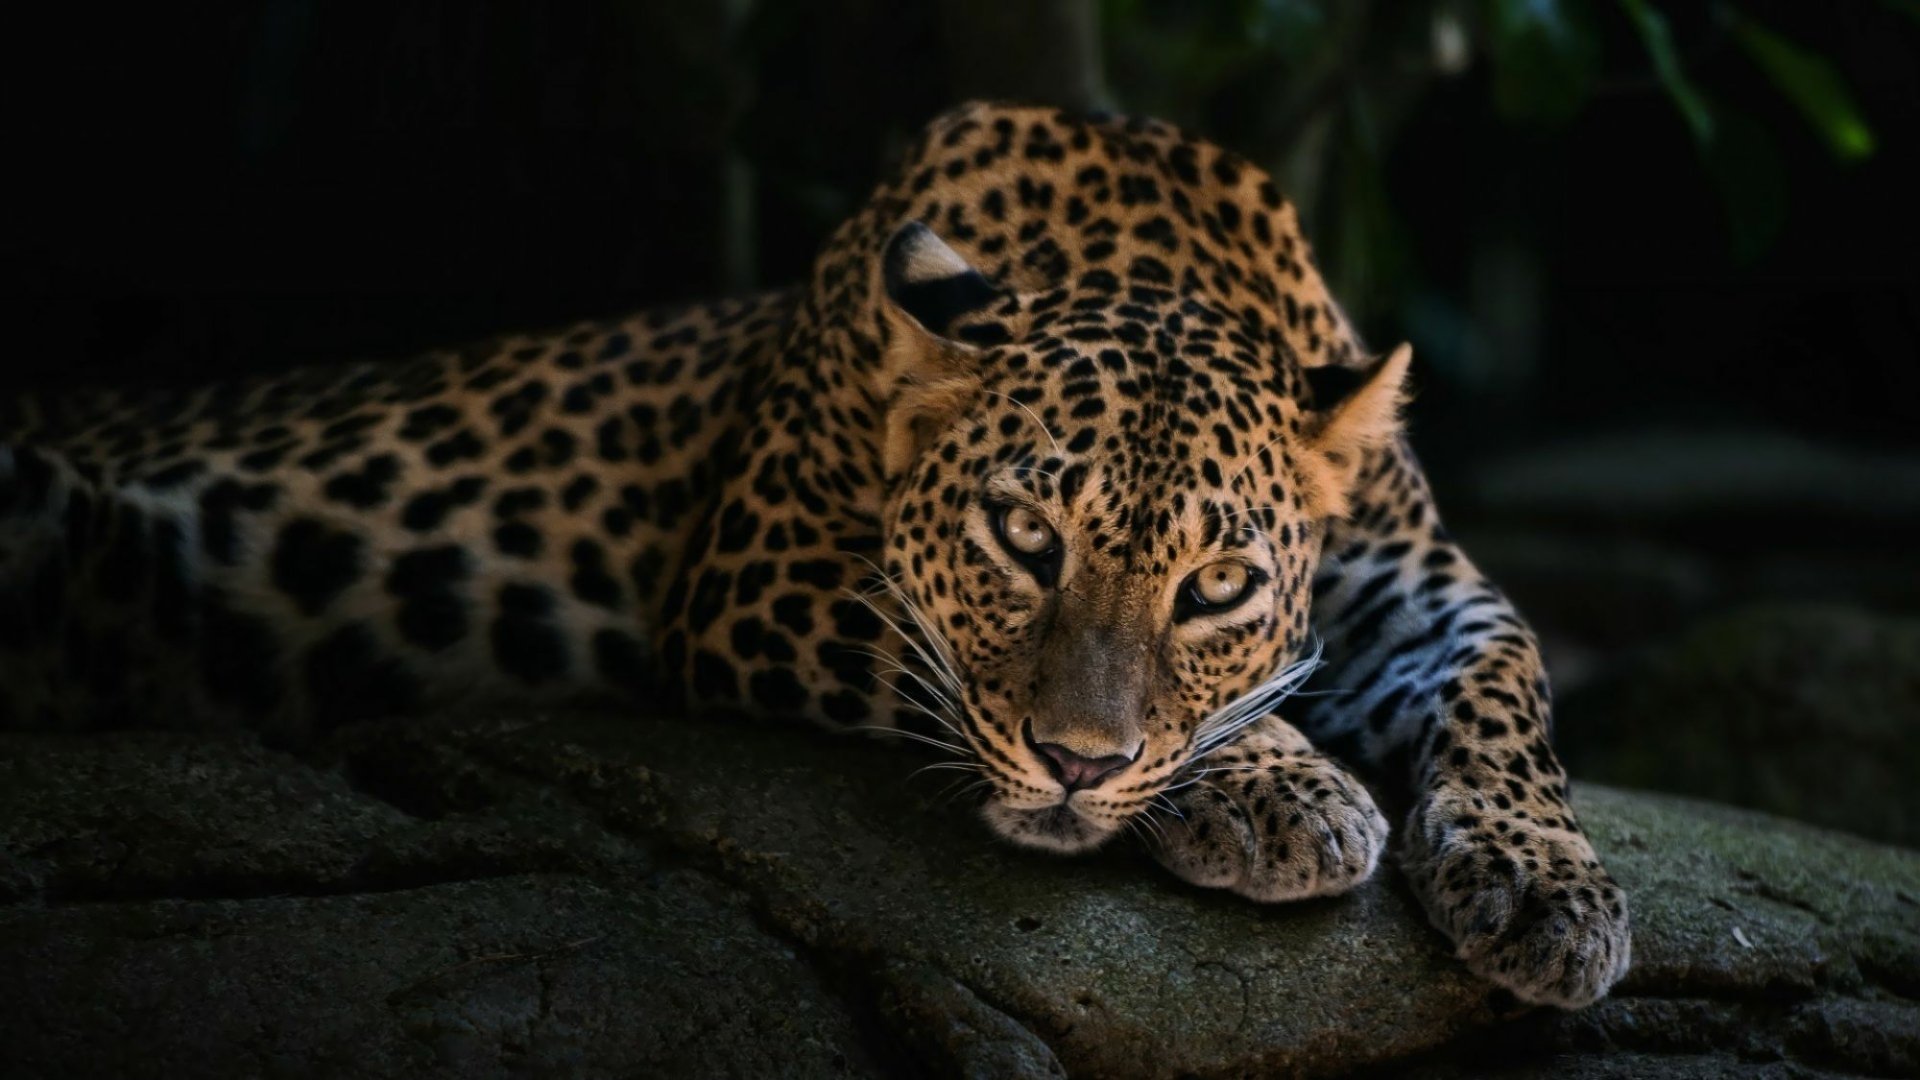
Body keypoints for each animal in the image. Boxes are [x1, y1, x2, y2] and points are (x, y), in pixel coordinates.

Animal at [0, 102, 1629, 1009]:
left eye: (1217, 586)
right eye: (1022, 538)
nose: (1080, 769)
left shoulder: (1419, 583)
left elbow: (1510, 685)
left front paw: (1548, 888)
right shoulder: (756, 576)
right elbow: (956, 668)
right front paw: (1287, 788)